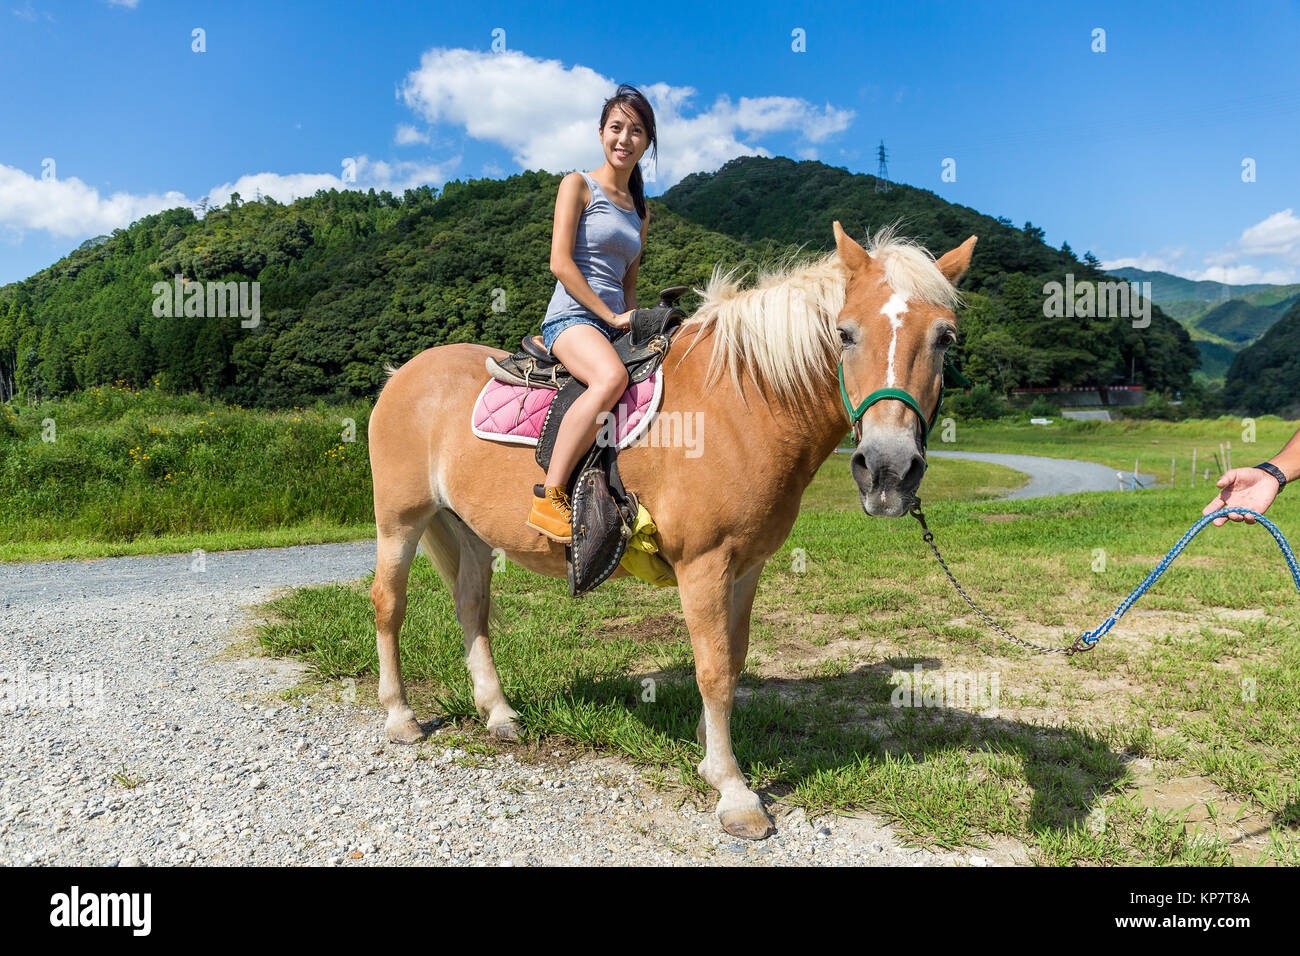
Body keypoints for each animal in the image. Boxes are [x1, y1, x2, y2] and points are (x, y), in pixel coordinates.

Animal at [367, 221, 977, 839]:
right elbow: (712, 670)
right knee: (388, 603)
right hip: (400, 520)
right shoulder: (703, 563)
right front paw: (734, 791)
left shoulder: (747, 565)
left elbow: (733, 659)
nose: (887, 470)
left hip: (467, 530)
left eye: (945, 338)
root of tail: (402, 375)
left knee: (471, 607)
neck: (742, 401)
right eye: (845, 334)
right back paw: (400, 715)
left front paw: (710, 755)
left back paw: (498, 713)